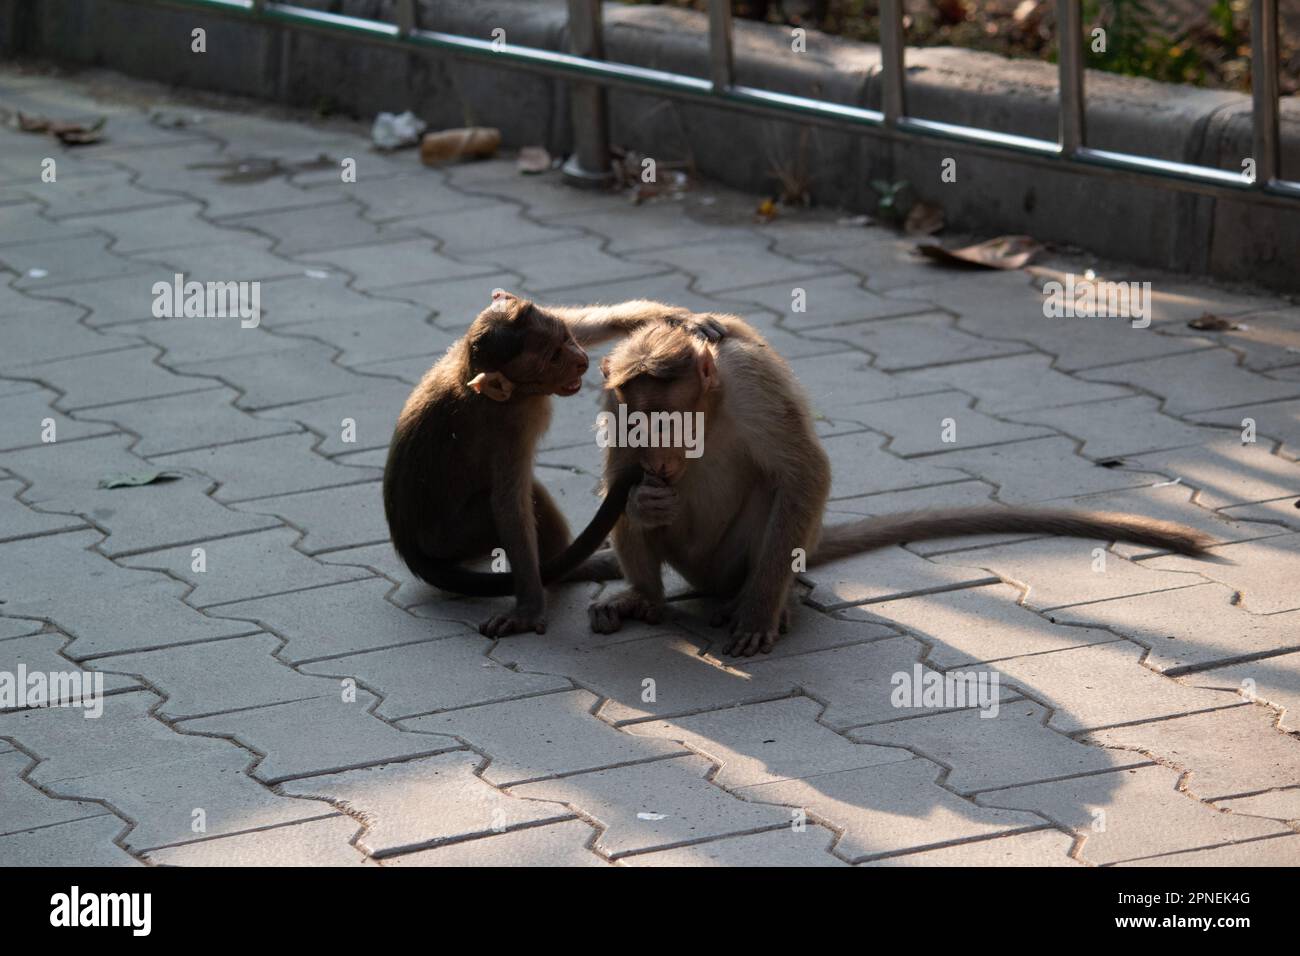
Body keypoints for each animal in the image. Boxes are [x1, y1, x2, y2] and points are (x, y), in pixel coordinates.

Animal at [382, 291, 722, 639]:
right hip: (457, 537)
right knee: (517, 500)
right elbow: (509, 505)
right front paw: (528, 609)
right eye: (554, 359)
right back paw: (574, 569)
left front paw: (684, 320)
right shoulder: (508, 427)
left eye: (565, 339)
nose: (581, 360)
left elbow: (592, 324)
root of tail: (409, 546)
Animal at [587, 313, 1214, 657]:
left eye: (670, 423)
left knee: (779, 495)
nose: (658, 460)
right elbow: (619, 477)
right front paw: (646, 499)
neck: (714, 409)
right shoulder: (615, 399)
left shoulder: (751, 382)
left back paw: (769, 598)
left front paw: (762, 612)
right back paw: (644, 596)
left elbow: (803, 473)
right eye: (642, 427)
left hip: (737, 558)